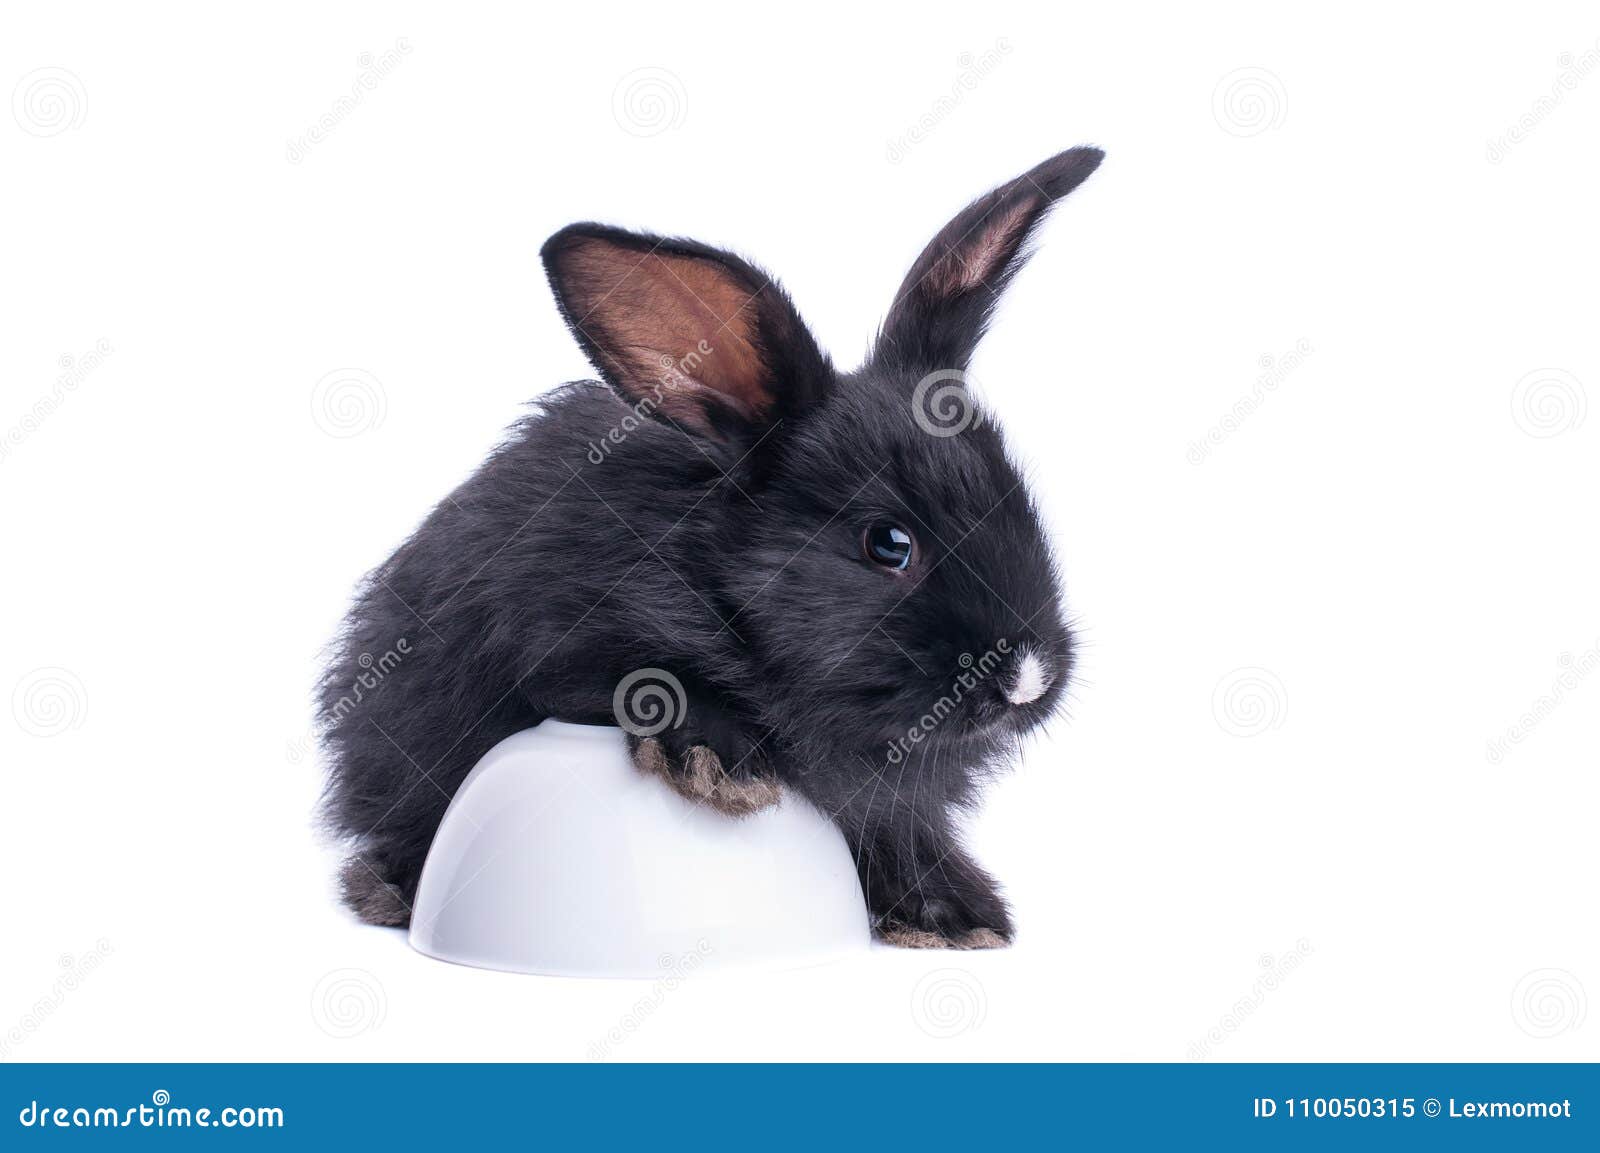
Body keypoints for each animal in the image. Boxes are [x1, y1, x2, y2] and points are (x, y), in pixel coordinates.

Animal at [320, 146, 1102, 946]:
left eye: (1020, 500)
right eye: (888, 544)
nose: (1028, 676)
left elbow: (899, 827)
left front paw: (957, 914)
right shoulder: (562, 632)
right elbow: (650, 683)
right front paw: (717, 764)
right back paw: (389, 889)